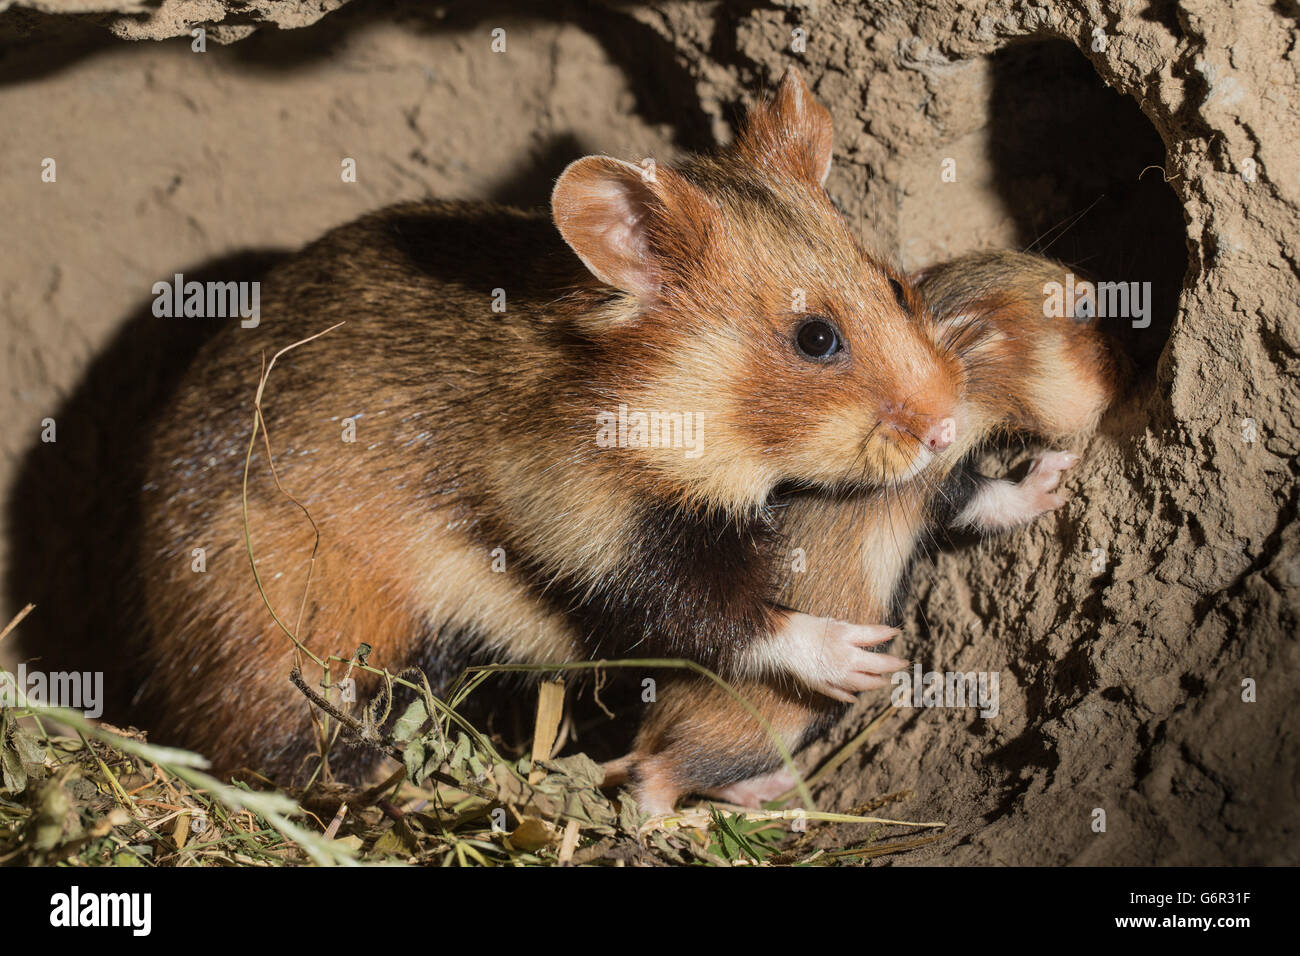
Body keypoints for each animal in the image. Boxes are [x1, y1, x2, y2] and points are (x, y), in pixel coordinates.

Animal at [128, 68, 963, 783]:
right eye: (815, 338)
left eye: (895, 286)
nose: (949, 430)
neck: (651, 407)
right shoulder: (590, 535)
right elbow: (719, 623)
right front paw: (867, 658)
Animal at [608, 250, 1124, 813]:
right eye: (1081, 309)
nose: (1130, 363)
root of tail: (650, 726)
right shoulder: (941, 485)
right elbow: (996, 500)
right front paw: (1048, 479)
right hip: (774, 722)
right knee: (654, 771)